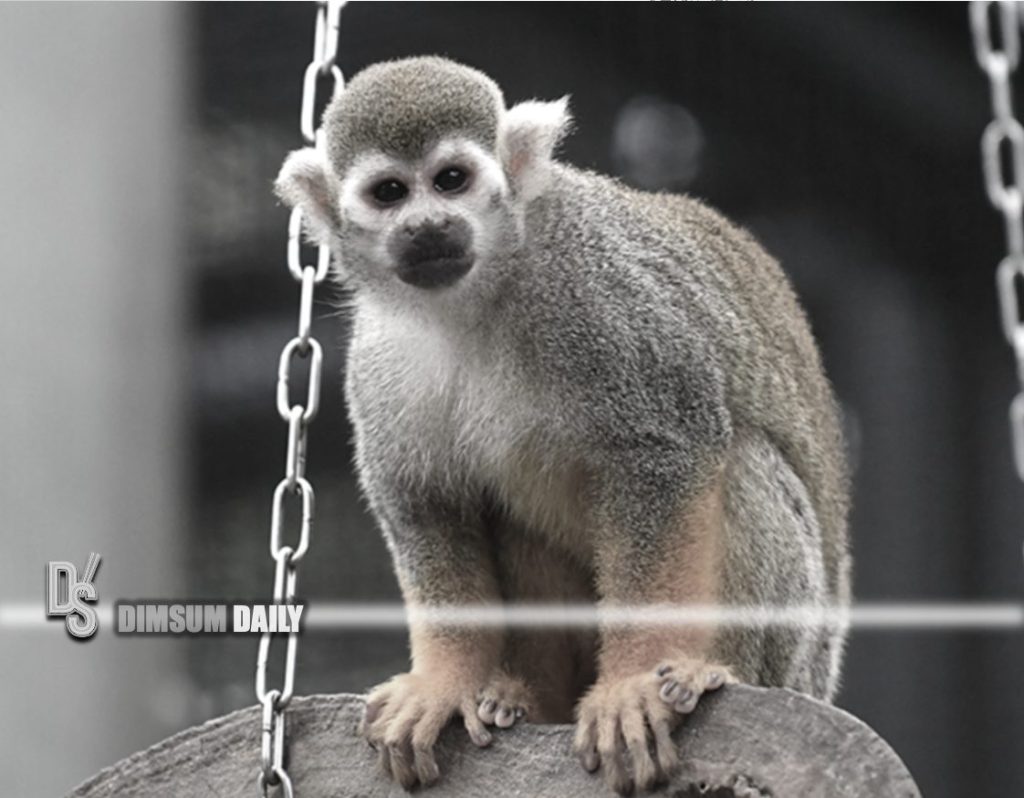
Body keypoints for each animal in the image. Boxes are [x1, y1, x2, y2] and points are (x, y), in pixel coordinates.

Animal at [275, 56, 851, 795]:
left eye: (451, 180)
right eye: (389, 192)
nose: (427, 226)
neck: (476, 296)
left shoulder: (596, 293)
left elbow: (665, 449)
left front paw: (634, 679)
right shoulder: (377, 360)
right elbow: (426, 503)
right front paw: (444, 680)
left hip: (796, 658)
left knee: (743, 460)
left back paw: (708, 668)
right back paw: (520, 696)